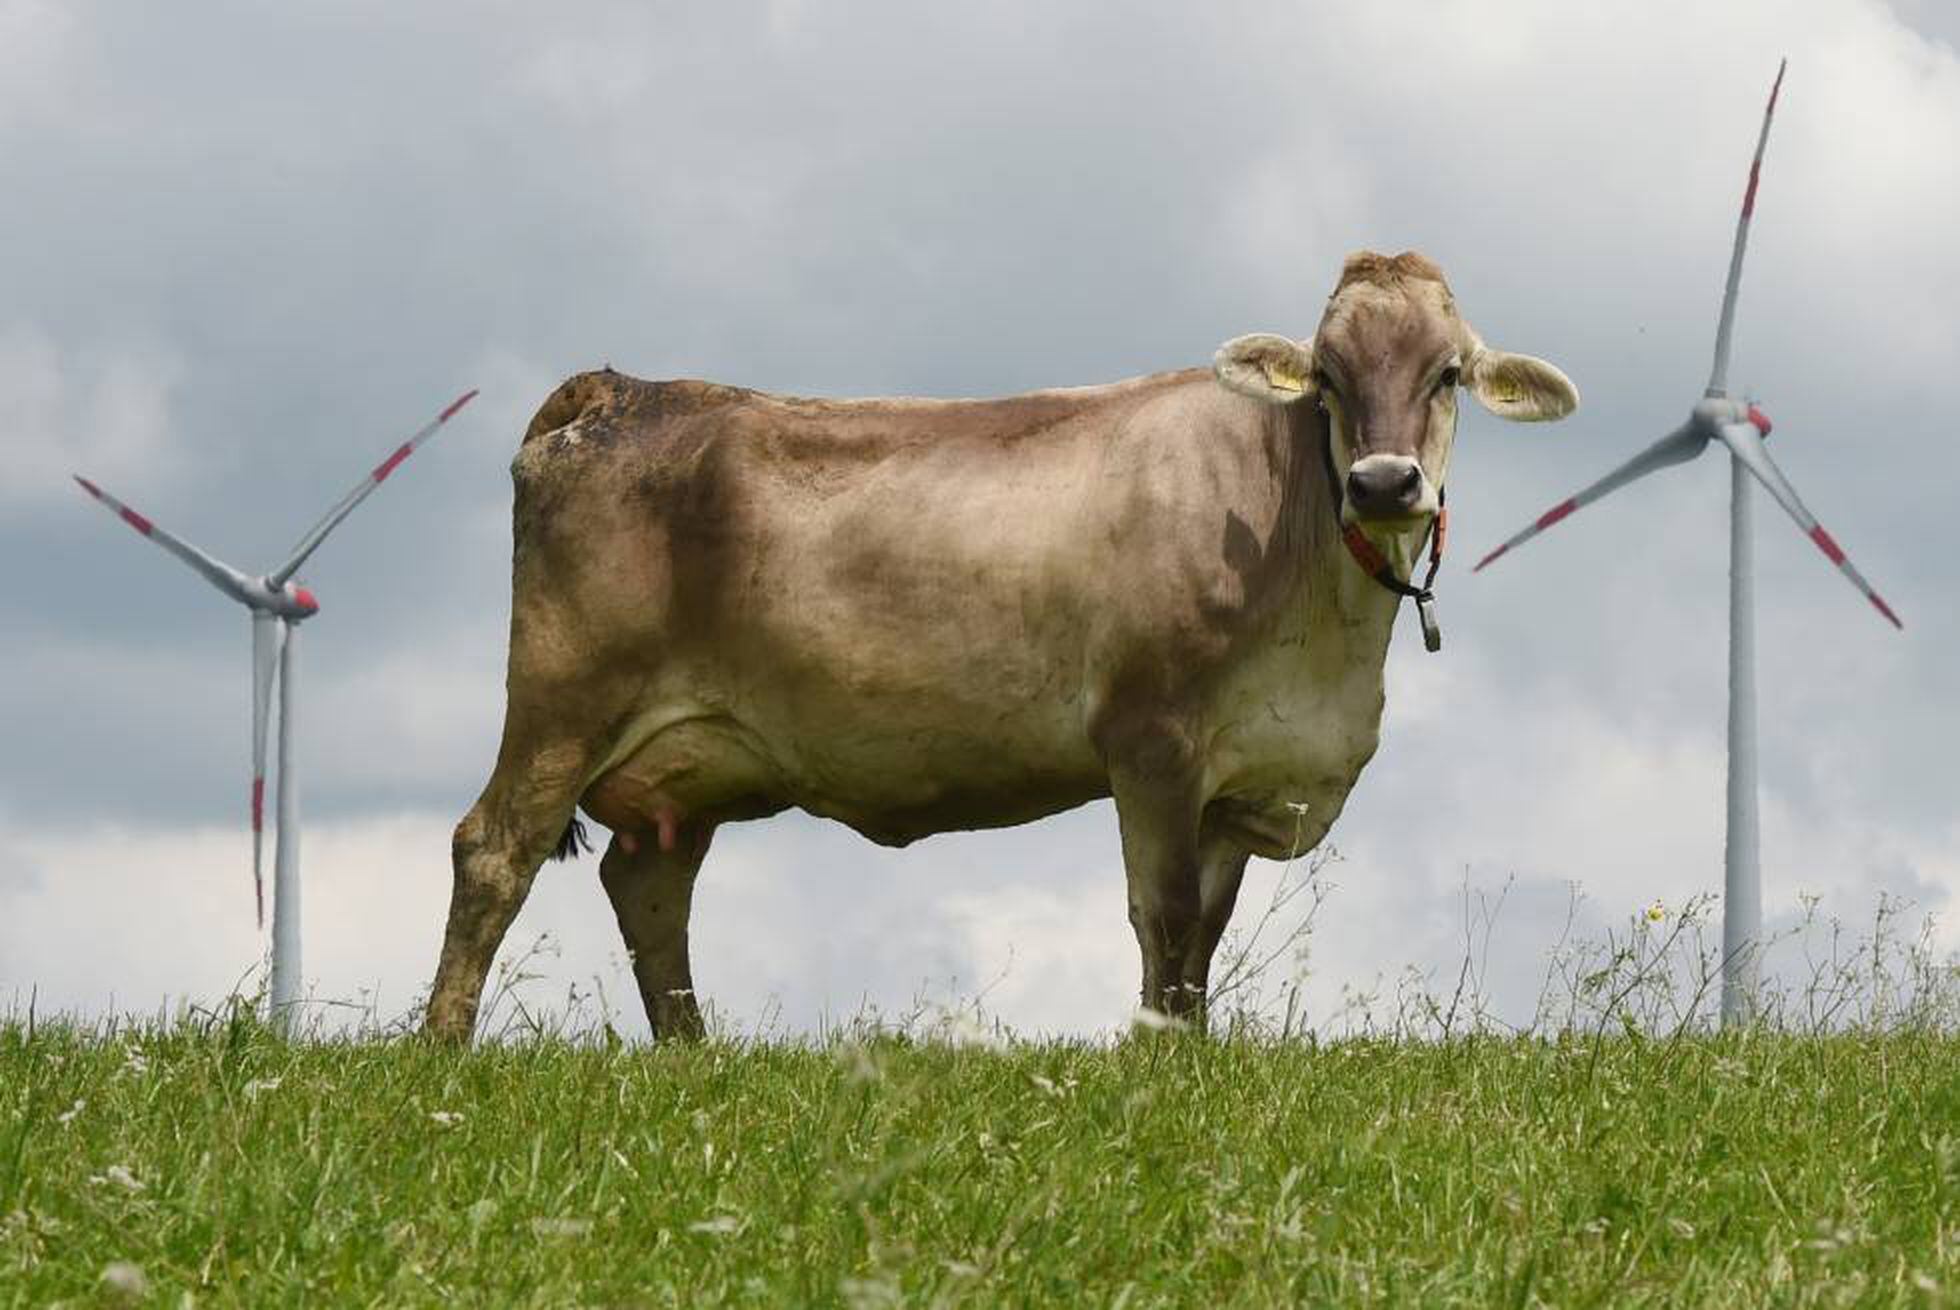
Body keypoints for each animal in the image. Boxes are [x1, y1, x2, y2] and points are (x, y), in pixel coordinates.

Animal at [423, 250, 1577, 1042]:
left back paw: (692, 1054)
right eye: (1328, 376)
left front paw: (1188, 1052)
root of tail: (624, 390)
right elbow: (1160, 918)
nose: (1383, 484)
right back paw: (441, 1051)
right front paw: (1157, 1058)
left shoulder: (1242, 781)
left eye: (1447, 374)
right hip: (564, 699)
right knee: (493, 849)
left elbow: (1201, 939)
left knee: (650, 885)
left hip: (687, 760)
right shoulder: (1150, 741)